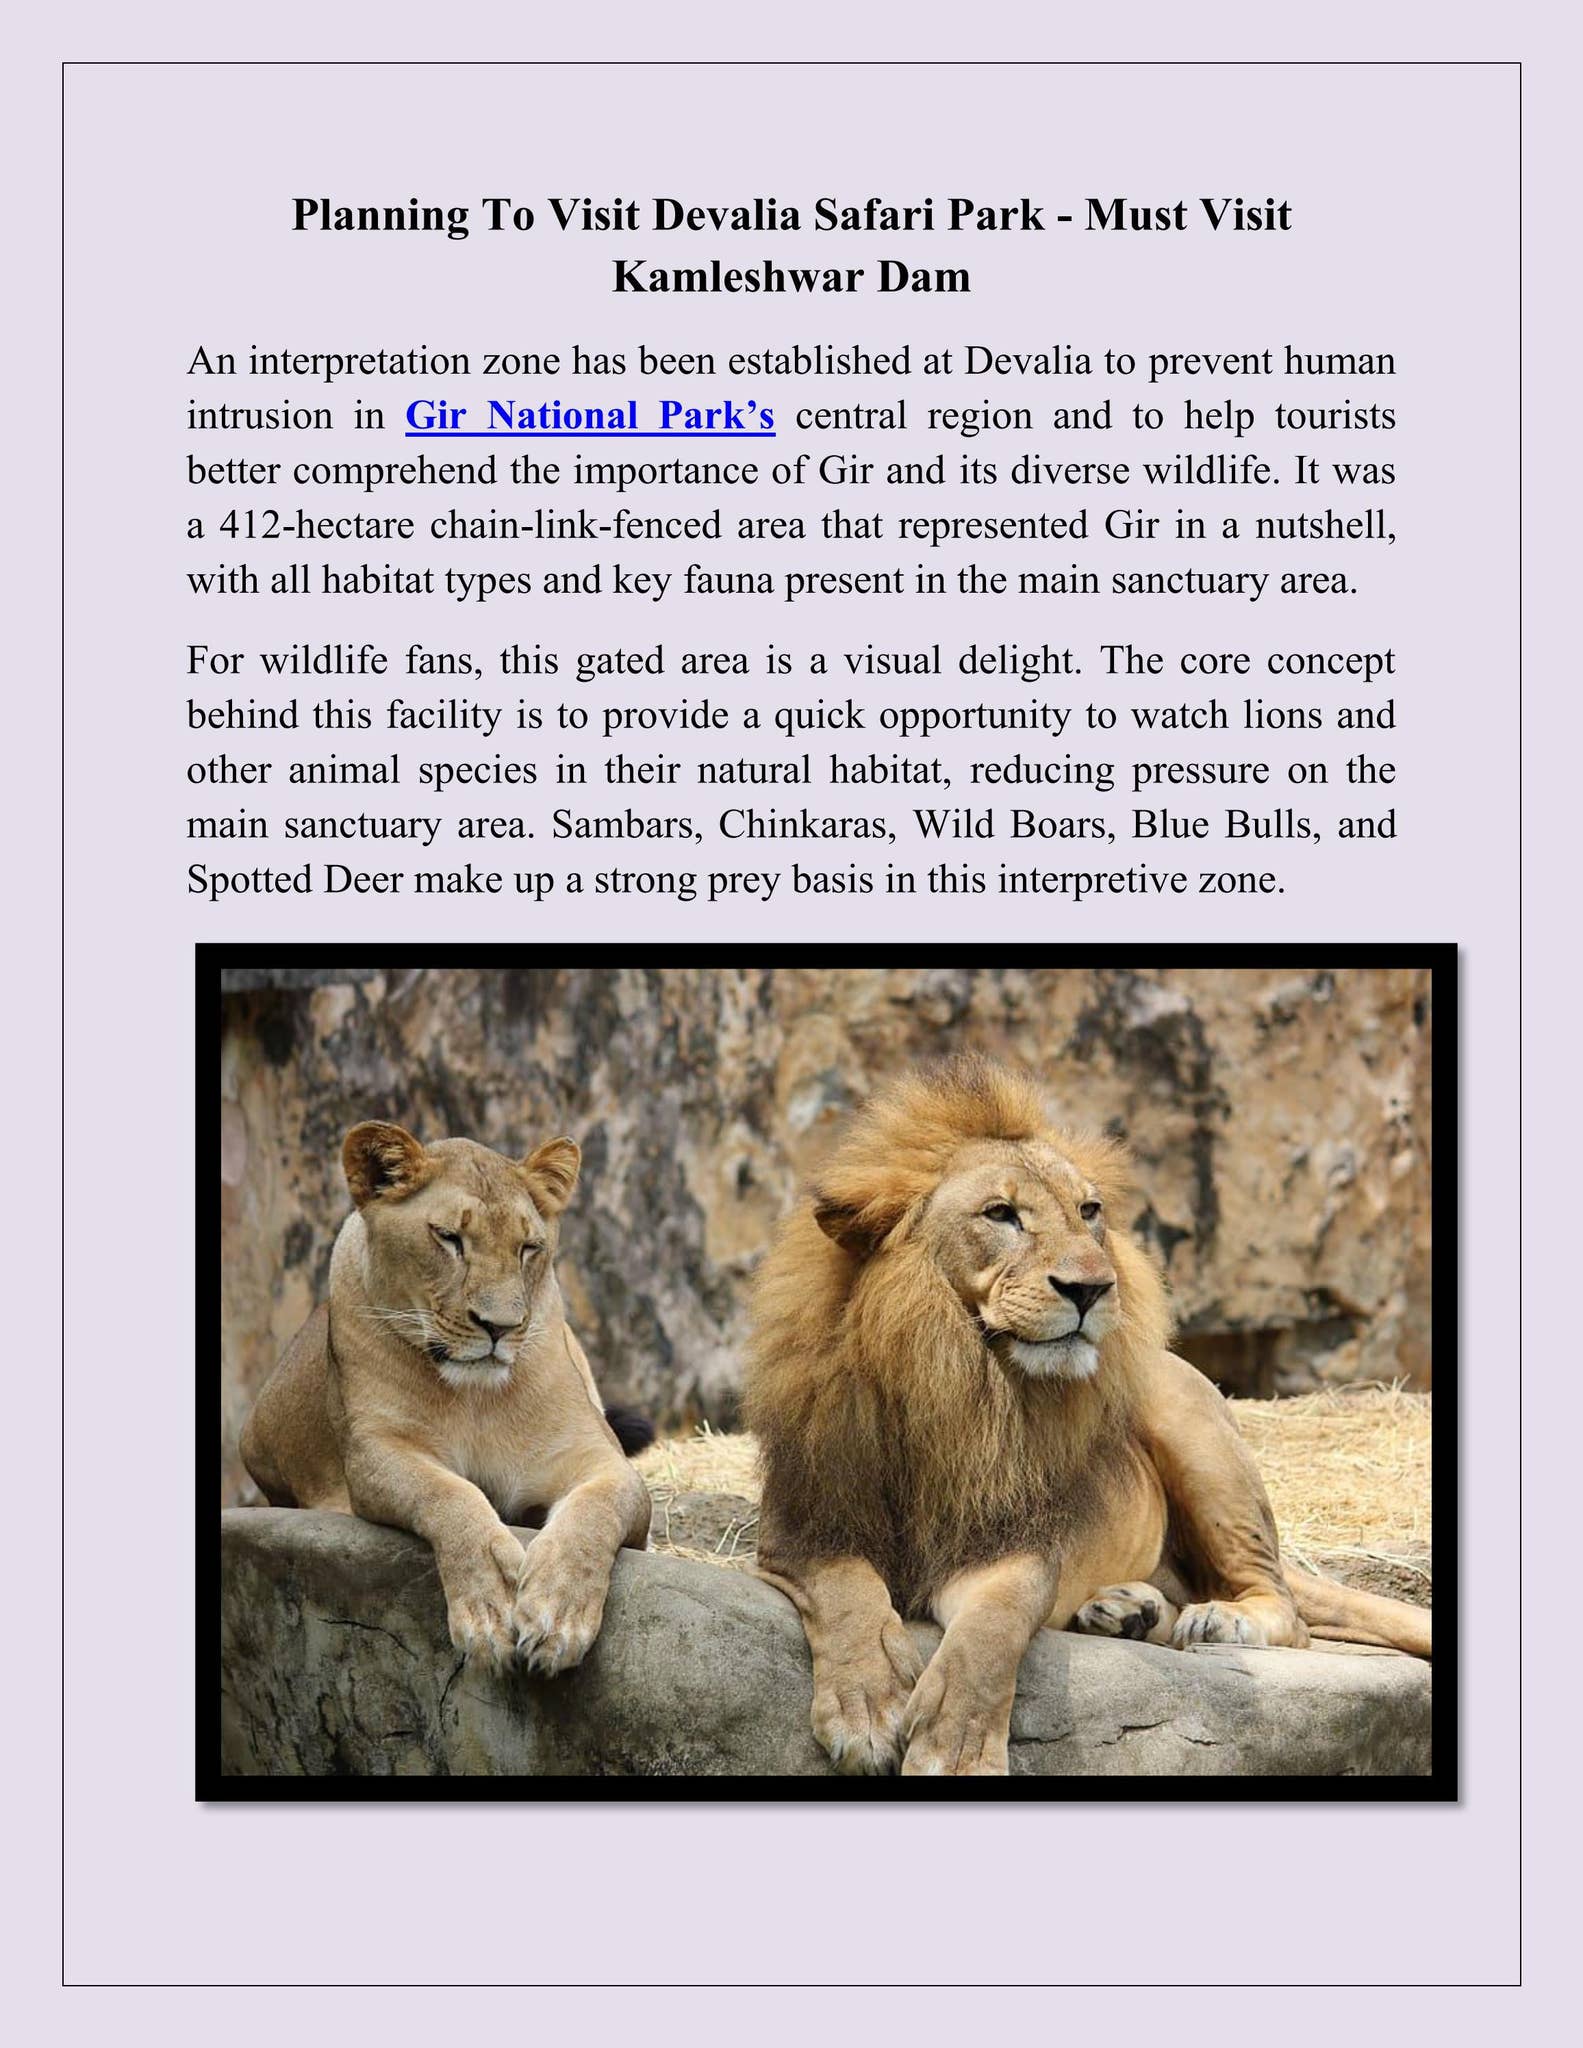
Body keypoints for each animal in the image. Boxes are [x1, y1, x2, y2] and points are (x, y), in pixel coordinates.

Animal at [240, 1120, 651, 1675]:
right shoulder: (374, 1452)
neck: (475, 1398)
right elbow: (447, 1493)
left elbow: (596, 1511)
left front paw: (558, 1613)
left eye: (529, 1247)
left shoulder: (599, 1458)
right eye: (450, 1238)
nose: (500, 1327)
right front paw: (491, 1603)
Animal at [744, 1057, 1432, 1777]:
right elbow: (849, 1595)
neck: (955, 1384)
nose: (1093, 1288)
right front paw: (868, 1709)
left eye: (1088, 1211)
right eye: (1000, 1214)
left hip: (1188, 1422)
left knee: (1284, 1607)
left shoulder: (1013, 1545)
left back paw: (1218, 1619)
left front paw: (955, 1750)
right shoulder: (806, 1529)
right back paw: (1127, 1610)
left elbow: (987, 1637)